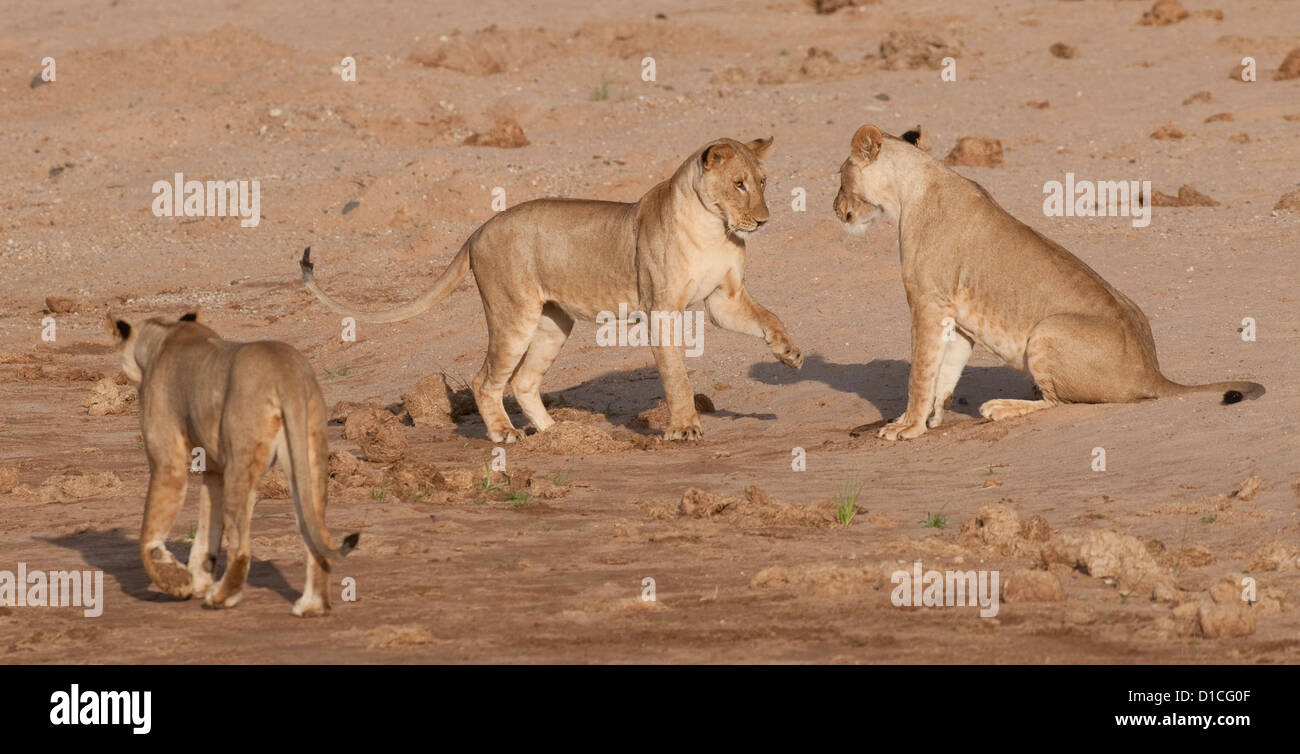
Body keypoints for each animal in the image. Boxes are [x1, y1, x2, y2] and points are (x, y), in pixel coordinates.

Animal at [109, 311, 358, 615]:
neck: (164, 334)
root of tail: (286, 371)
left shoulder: (168, 462)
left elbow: (149, 534)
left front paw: (178, 582)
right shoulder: (213, 468)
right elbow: (207, 529)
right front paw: (198, 579)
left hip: (241, 461)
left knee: (241, 546)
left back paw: (221, 597)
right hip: (308, 455)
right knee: (317, 532)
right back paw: (312, 605)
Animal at [300, 136, 802, 442]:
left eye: (763, 182)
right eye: (738, 184)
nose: (764, 221)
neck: (714, 227)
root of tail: (479, 229)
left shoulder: (723, 299)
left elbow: (768, 316)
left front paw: (789, 353)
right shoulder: (662, 308)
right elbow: (677, 375)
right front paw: (684, 429)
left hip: (552, 323)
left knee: (523, 382)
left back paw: (555, 433)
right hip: (513, 316)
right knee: (487, 381)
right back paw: (505, 435)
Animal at [833, 124, 1264, 440]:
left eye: (840, 177)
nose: (835, 208)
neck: (909, 190)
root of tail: (1154, 374)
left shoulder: (926, 302)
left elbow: (920, 374)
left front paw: (905, 426)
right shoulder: (955, 316)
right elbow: (945, 372)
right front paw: (932, 420)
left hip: (1048, 330)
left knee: (1058, 404)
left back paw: (999, 408)